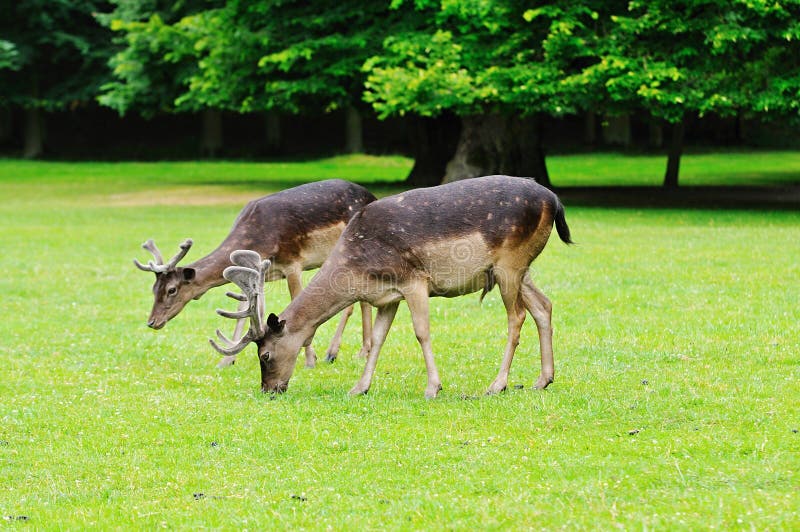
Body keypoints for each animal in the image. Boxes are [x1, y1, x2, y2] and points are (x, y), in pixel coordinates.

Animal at [134, 179, 376, 368]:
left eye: (171, 290)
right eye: (153, 288)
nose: (152, 322)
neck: (258, 239)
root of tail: (371, 195)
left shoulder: (293, 263)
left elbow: (296, 301)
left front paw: (310, 359)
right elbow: (245, 310)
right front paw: (226, 360)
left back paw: (349, 352)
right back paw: (344, 352)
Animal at [209, 175, 573, 397]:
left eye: (265, 355)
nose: (269, 389)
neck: (358, 269)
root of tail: (554, 200)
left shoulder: (414, 280)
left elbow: (421, 332)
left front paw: (433, 387)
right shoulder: (386, 298)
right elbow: (379, 340)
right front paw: (359, 387)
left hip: (510, 263)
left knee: (517, 317)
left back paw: (497, 384)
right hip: (517, 269)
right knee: (544, 305)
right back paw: (543, 379)